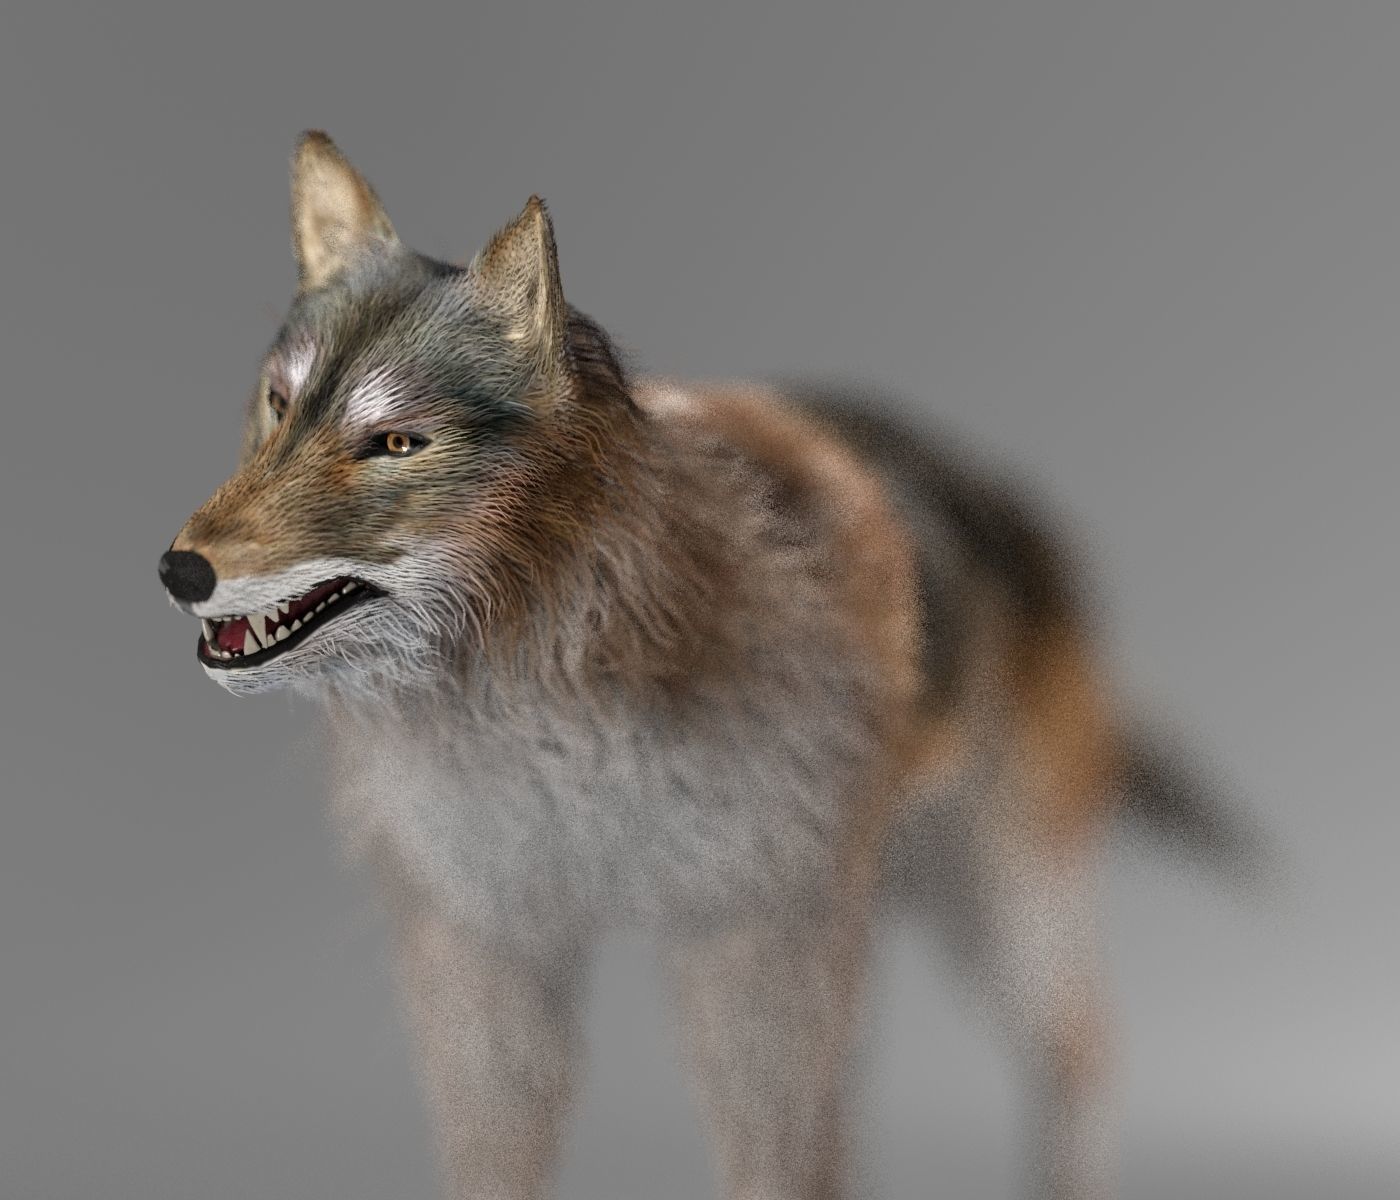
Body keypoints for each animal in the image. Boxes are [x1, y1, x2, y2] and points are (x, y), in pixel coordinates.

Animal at [159, 132, 1251, 1200]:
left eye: (392, 443)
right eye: (279, 405)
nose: (179, 570)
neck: (554, 705)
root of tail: (1004, 492)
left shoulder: (752, 938)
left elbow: (778, 1155)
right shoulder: (486, 947)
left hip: (985, 905)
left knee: (1079, 1050)